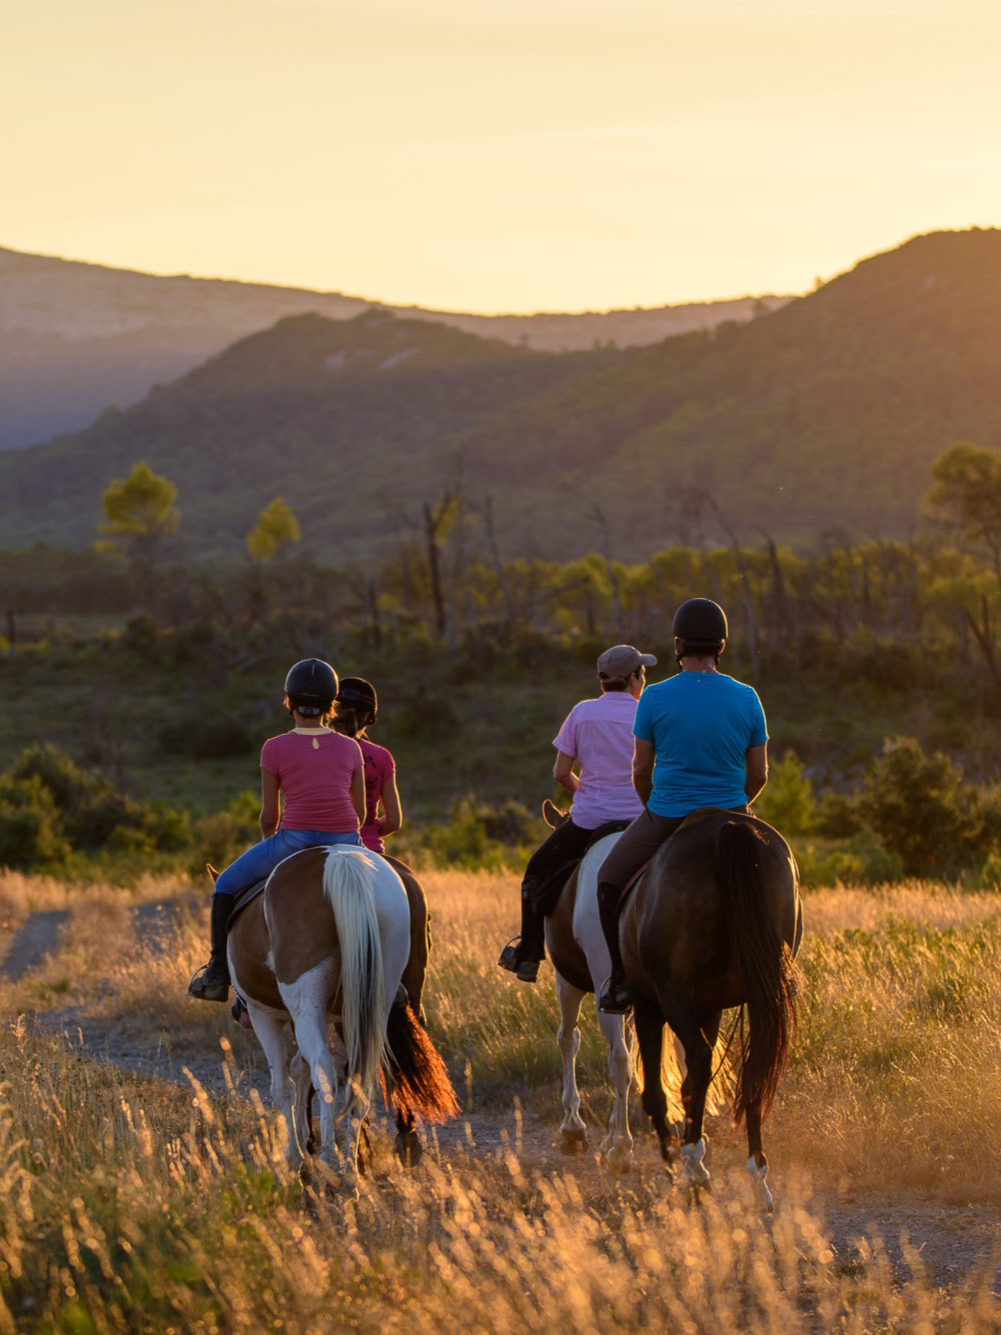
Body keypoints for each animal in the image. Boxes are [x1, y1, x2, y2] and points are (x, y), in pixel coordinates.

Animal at [226, 844, 458, 1188]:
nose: (236, 1011)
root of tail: (341, 859)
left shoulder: (264, 1015)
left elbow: (283, 1085)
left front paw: (293, 1156)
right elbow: (301, 1071)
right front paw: (306, 1144)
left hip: (306, 1001)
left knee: (324, 1068)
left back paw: (330, 1160)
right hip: (381, 995)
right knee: (364, 1073)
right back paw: (352, 1169)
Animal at [619, 808, 802, 1206]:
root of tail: (727, 827)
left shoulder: (649, 1005)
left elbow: (656, 1092)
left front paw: (673, 1160)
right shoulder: (709, 1007)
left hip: (671, 992)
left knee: (700, 1061)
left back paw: (693, 1168)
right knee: (752, 1069)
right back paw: (757, 1176)